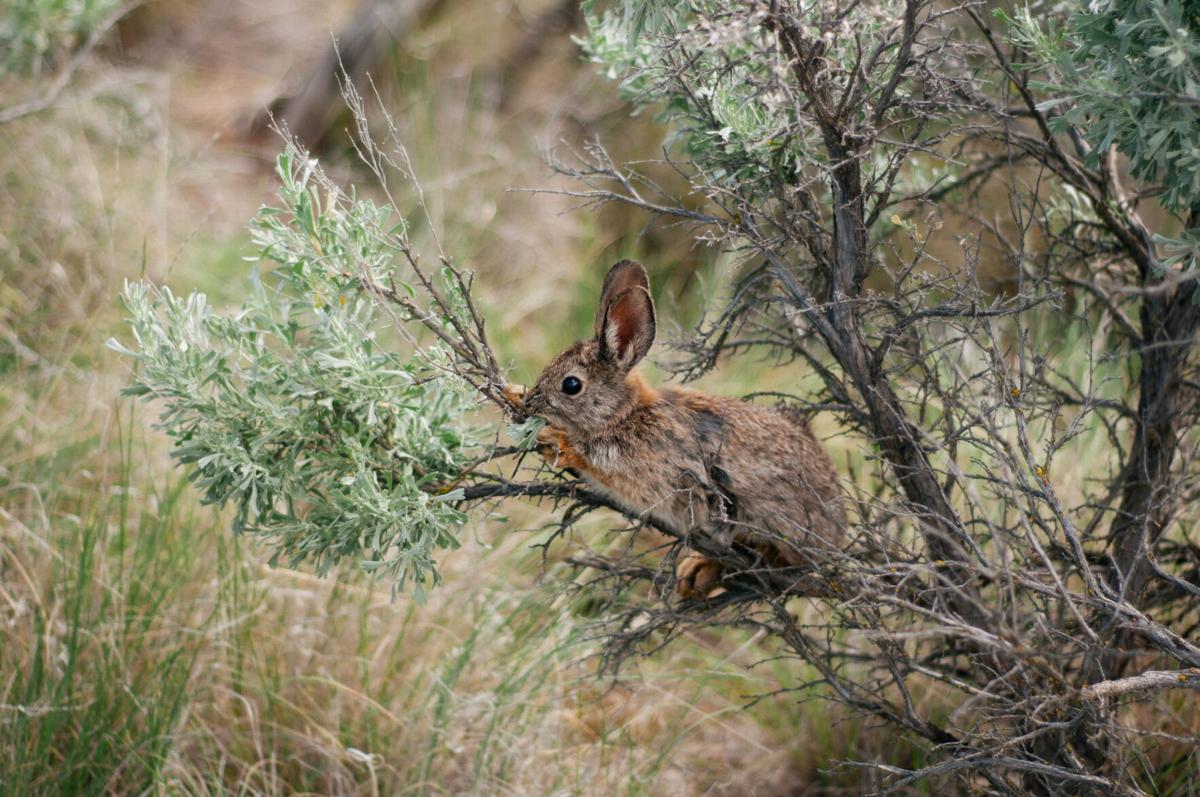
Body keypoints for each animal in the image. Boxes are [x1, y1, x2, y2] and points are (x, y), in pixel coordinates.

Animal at [504, 260, 846, 597]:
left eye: (571, 385)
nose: (532, 402)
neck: (624, 415)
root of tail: (839, 529)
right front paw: (514, 393)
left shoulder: (649, 474)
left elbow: (599, 466)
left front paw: (556, 440)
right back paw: (696, 572)